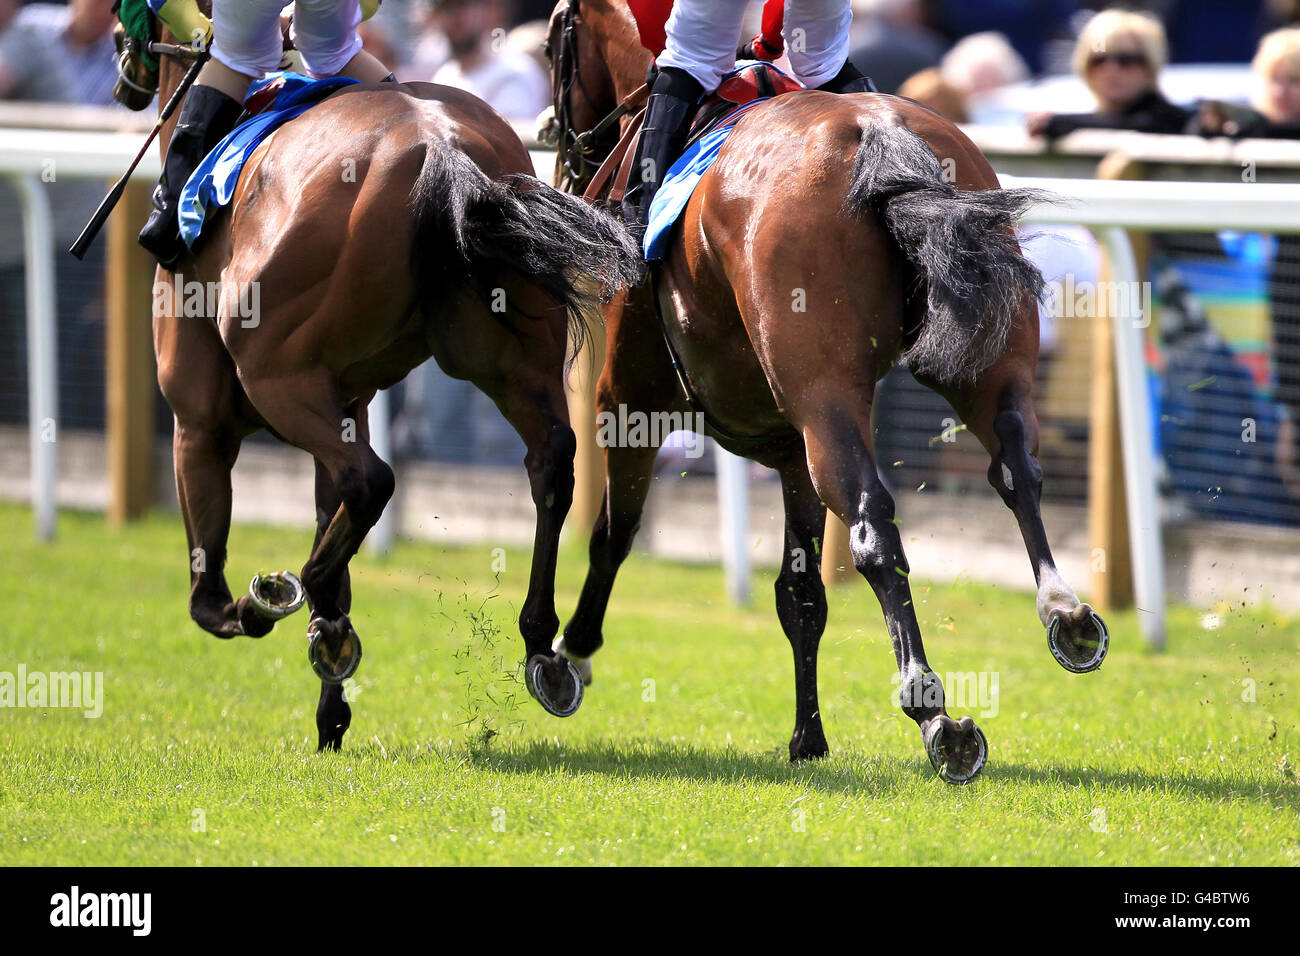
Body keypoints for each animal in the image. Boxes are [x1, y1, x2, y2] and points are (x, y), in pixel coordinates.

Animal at [110, 3, 639, 751]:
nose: (124, 61)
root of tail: (443, 151)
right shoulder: (347, 401)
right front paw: (331, 699)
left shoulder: (200, 417)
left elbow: (206, 593)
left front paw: (273, 611)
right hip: (508, 357)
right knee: (550, 461)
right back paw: (541, 645)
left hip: (275, 373)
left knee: (373, 481)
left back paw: (289, 591)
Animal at [543, 0, 1110, 783]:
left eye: (553, 43)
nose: (556, 144)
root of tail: (883, 140)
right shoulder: (788, 449)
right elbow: (801, 594)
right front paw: (807, 736)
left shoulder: (628, 399)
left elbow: (612, 537)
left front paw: (570, 657)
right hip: (984, 356)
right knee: (1016, 466)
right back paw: (1065, 612)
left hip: (825, 394)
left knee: (873, 521)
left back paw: (934, 711)